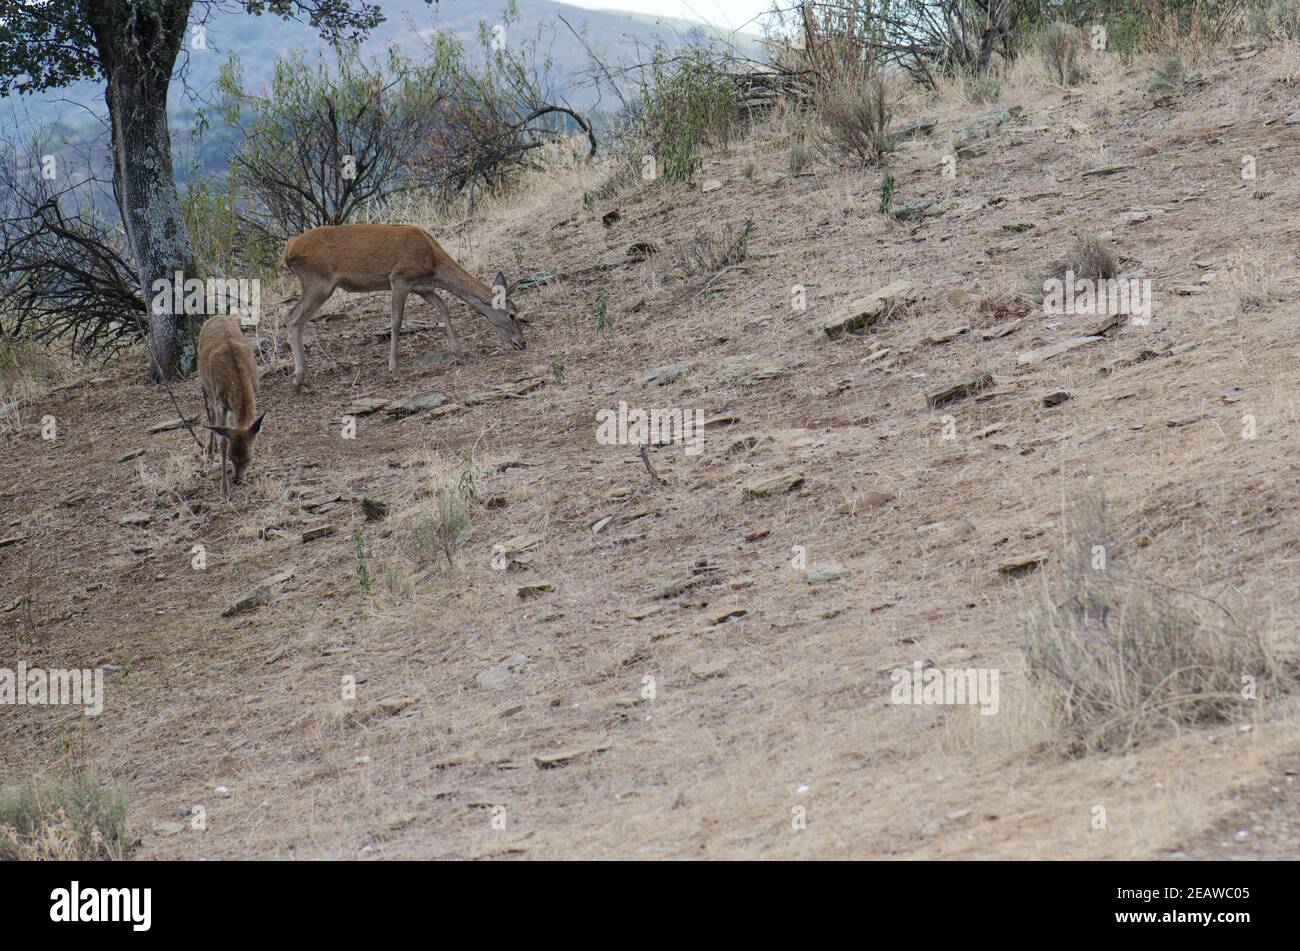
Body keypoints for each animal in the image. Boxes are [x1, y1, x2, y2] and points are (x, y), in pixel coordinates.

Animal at [197, 316, 266, 500]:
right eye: (231, 457)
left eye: (249, 457)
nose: (237, 479)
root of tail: (215, 317)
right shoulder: (220, 402)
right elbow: (223, 440)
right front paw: (224, 490)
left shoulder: (254, 391)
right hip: (208, 387)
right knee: (210, 412)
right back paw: (210, 450)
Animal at [280, 223, 527, 393]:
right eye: (512, 314)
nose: (522, 343)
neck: (433, 263)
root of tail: (287, 251)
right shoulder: (400, 278)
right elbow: (396, 322)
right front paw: (395, 372)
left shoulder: (422, 287)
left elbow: (444, 307)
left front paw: (460, 355)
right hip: (318, 281)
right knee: (291, 317)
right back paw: (299, 380)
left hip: (318, 285)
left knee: (297, 320)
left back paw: (306, 381)